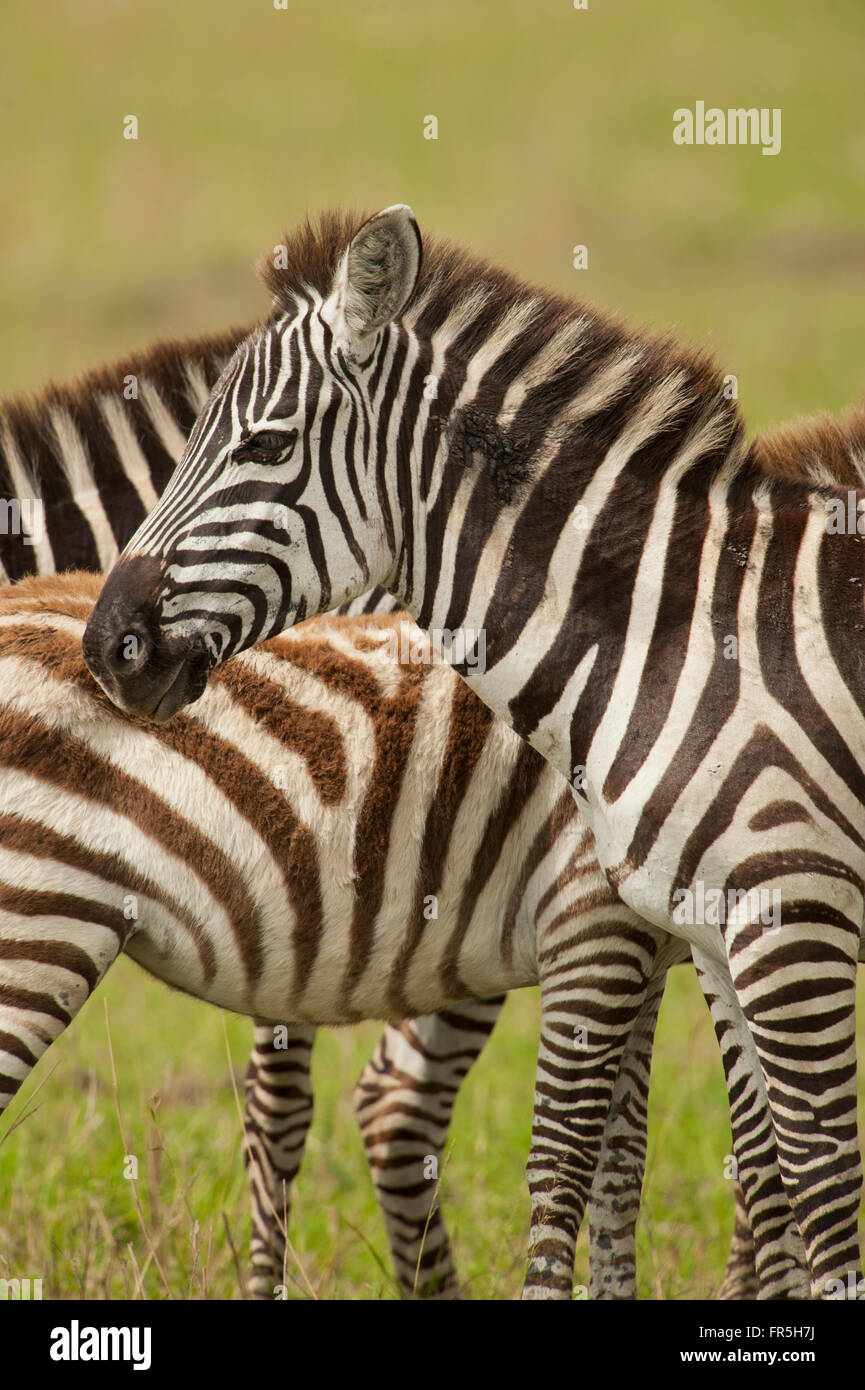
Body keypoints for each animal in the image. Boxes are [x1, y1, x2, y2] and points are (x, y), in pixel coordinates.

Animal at [84, 204, 865, 1298]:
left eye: (267, 443)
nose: (105, 645)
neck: (672, 636)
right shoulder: (712, 933)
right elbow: (753, 1173)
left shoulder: (787, 919)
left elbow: (815, 1190)